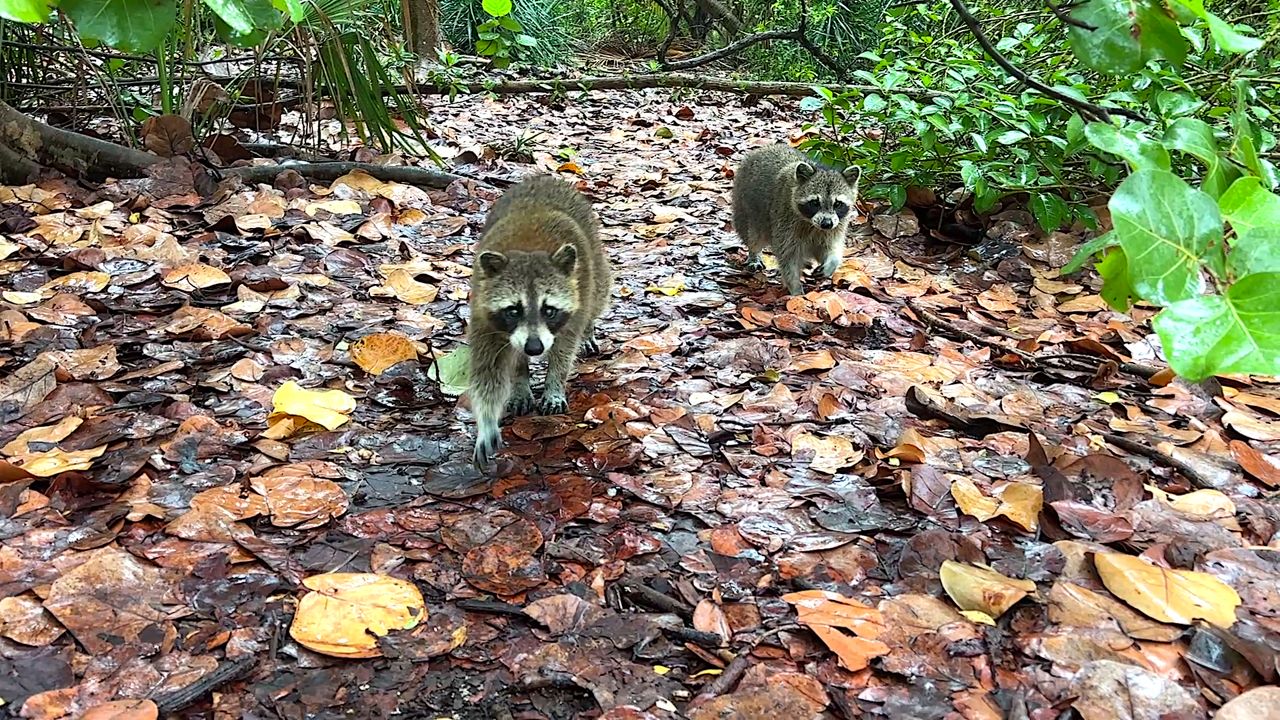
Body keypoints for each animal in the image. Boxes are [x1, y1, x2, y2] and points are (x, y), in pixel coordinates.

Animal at [466, 175, 613, 469]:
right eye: (513, 310)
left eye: (549, 310)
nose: (534, 348)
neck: (529, 250)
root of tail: (542, 177)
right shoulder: (484, 313)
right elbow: (489, 371)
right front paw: (488, 419)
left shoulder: (574, 306)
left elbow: (563, 351)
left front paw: (554, 383)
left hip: (594, 266)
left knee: (599, 295)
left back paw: (589, 330)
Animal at [732, 143, 861, 296]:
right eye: (815, 203)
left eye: (838, 204)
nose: (826, 223)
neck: (812, 224)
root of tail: (762, 149)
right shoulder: (784, 221)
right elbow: (787, 256)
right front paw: (795, 289)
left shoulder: (836, 226)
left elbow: (830, 248)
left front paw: (831, 263)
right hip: (746, 207)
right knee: (754, 236)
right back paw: (754, 253)